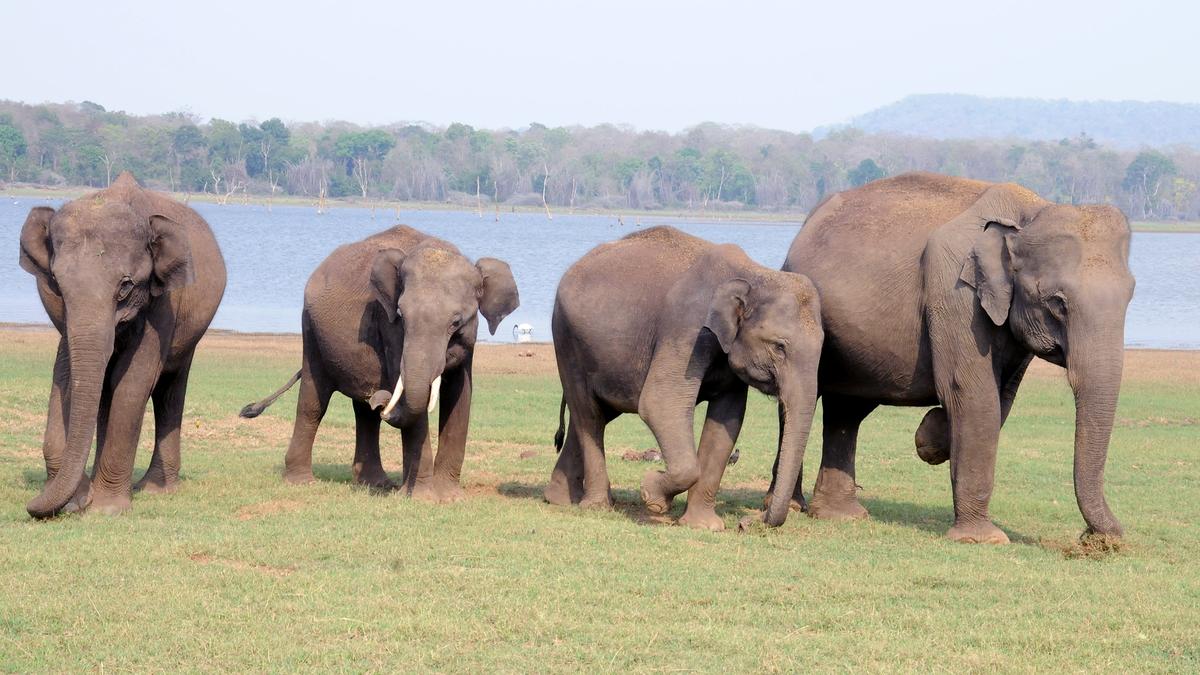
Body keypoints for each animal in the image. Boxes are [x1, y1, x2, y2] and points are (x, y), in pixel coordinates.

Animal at [18, 172, 227, 517]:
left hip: (190, 332)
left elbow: (132, 383)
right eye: (57, 283)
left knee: (169, 389)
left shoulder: (163, 304)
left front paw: (106, 509)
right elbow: (66, 375)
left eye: (126, 286)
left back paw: (156, 489)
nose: (31, 506)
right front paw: (76, 498)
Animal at [240, 225, 519, 502]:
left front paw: (449, 498)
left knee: (364, 411)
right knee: (313, 402)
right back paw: (302, 481)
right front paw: (422, 498)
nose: (382, 400)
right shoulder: (390, 329)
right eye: (402, 316)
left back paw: (375, 482)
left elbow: (460, 397)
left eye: (456, 322)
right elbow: (414, 405)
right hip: (310, 330)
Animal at [544, 226, 823, 530]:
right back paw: (597, 505)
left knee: (590, 415)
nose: (746, 522)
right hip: (567, 341)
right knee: (589, 414)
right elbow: (659, 403)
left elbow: (727, 420)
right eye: (779, 347)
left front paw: (703, 525)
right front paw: (652, 495)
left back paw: (560, 499)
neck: (752, 272)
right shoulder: (686, 330)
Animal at [773, 171, 1134, 543]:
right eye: (1057, 302)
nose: (1093, 537)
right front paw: (984, 539)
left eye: (1131, 297)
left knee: (846, 410)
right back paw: (794, 507)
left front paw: (929, 436)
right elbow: (972, 395)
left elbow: (1001, 399)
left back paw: (841, 515)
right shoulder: (954, 291)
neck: (1030, 212)